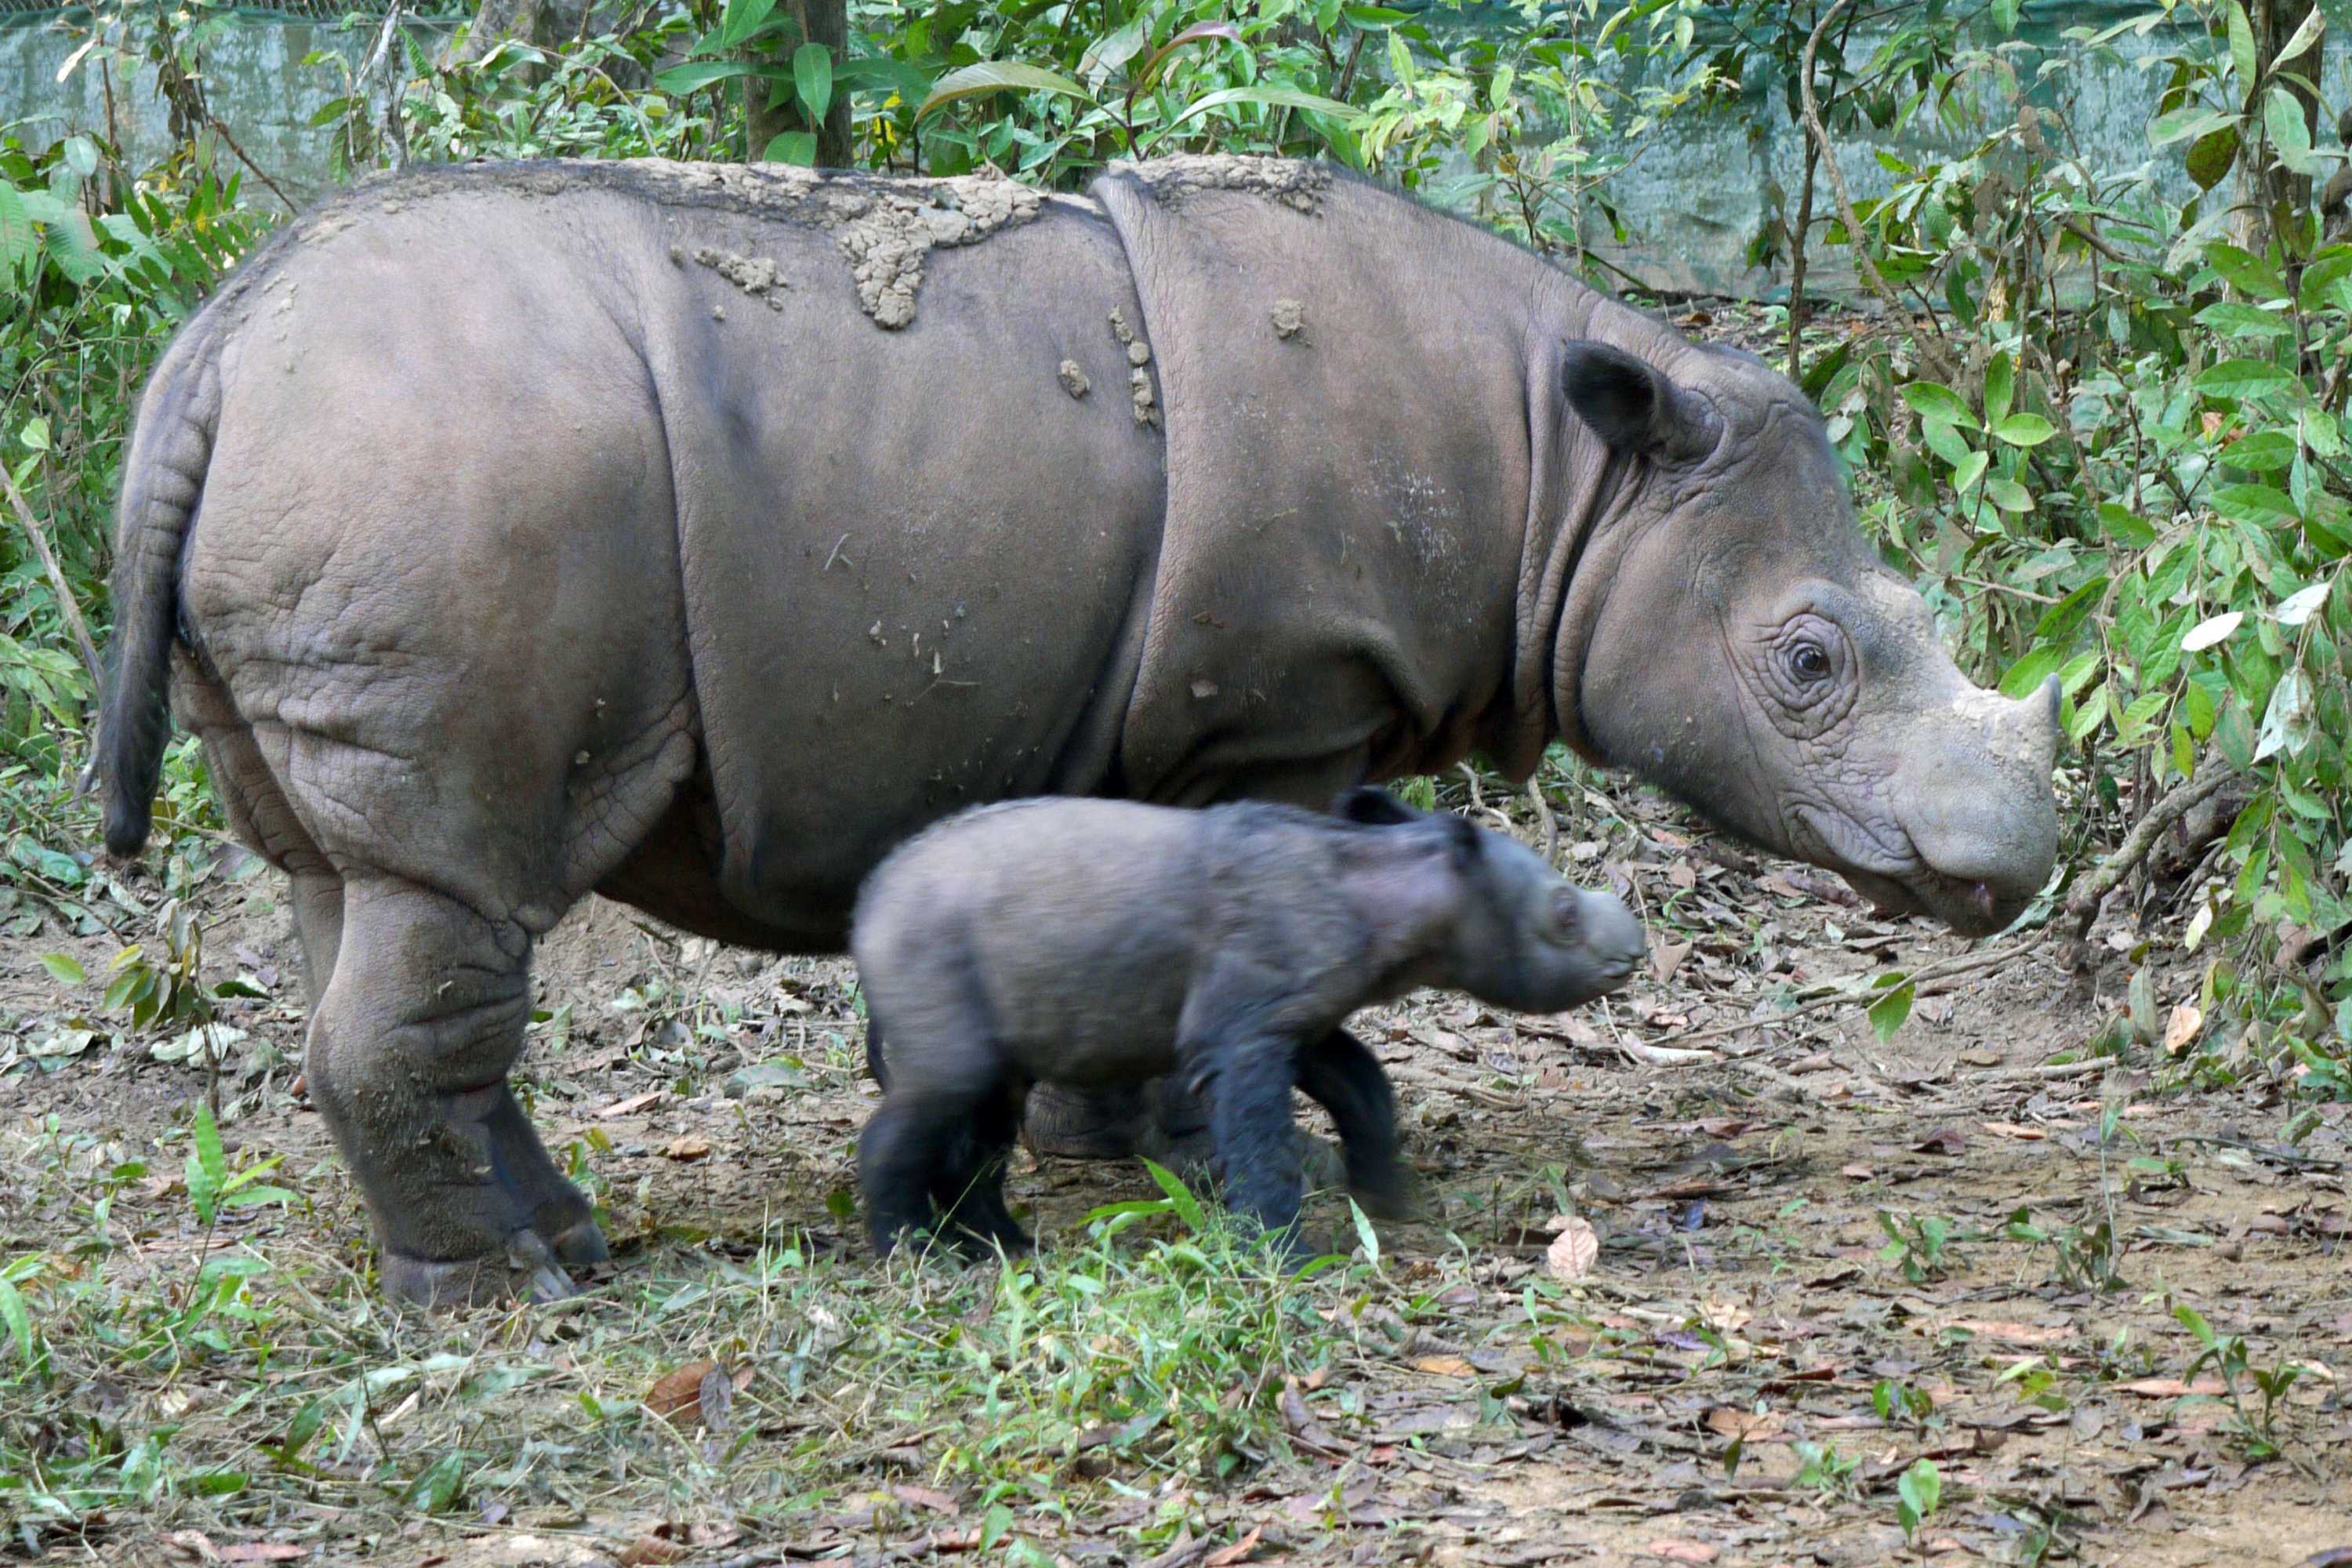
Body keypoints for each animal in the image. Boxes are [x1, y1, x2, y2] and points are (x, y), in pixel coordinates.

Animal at [98, 154, 2060, 1305]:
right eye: (1809, 664)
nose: (2014, 865)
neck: (1568, 485)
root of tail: (215, 346)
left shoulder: (1207, 709)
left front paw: (1103, 1157)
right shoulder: (1281, 695)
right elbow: (1219, 906)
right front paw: (1194, 1166)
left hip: (347, 477)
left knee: (374, 886)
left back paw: (548, 1244)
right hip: (440, 473)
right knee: (453, 891)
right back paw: (510, 1294)